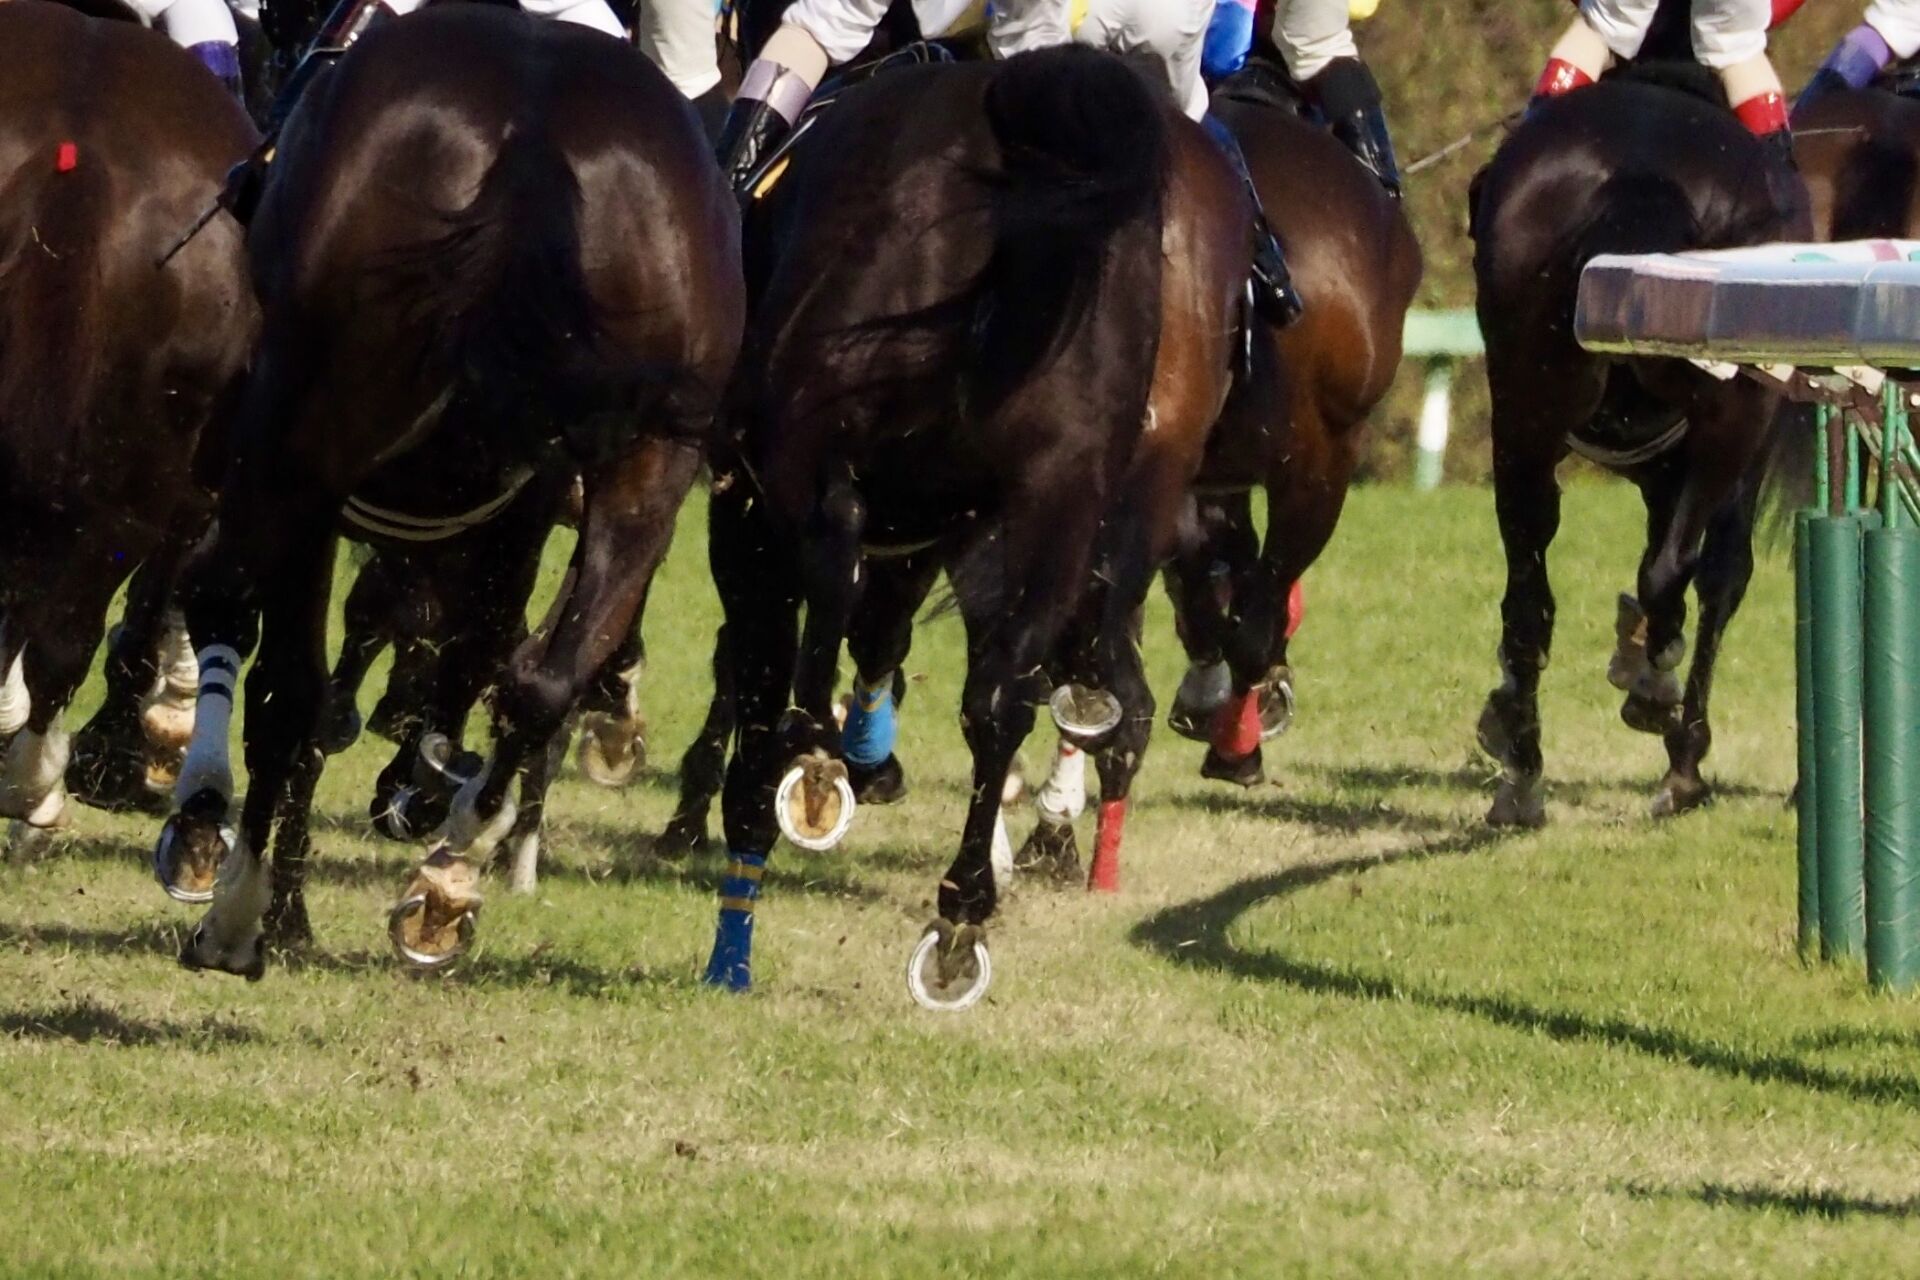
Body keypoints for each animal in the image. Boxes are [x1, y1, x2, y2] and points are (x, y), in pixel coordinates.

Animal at [155, 1, 743, 978]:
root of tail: (536, 132)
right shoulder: (523, 499)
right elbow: (469, 650)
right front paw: (422, 795)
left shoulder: (312, 490)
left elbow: (275, 654)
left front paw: (255, 888)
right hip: (652, 465)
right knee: (544, 675)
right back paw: (452, 858)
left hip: (306, 443)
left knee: (267, 653)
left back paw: (234, 904)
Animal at [700, 46, 1242, 1003]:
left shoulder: (754, 520)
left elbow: (774, 662)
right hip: (1059, 502)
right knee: (1006, 697)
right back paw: (962, 910)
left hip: (815, 445)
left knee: (837, 564)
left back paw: (820, 768)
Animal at [1468, 64, 1809, 828]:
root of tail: (1640, 173)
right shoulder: (1731, 471)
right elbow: (1716, 578)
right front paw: (1683, 748)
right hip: (1730, 428)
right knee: (1676, 568)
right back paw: (1659, 709)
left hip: (1522, 425)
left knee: (1527, 595)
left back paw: (1524, 769)